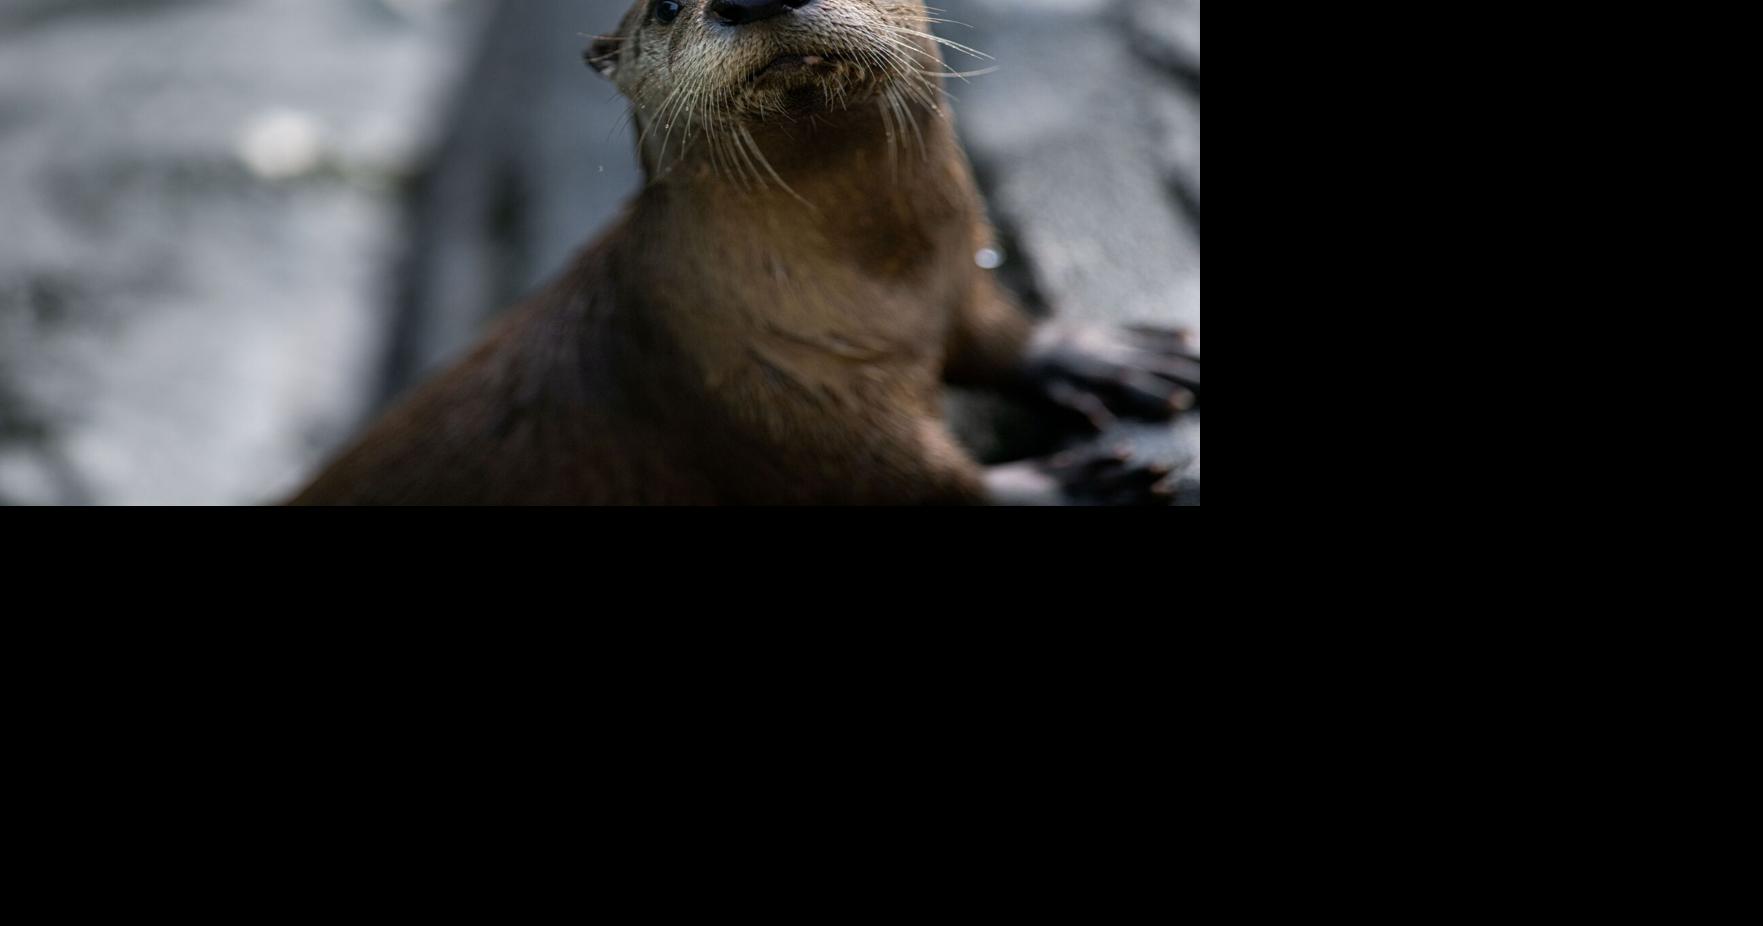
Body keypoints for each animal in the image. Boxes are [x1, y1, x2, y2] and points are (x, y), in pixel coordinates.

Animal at [290, 0, 1200, 506]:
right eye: (664, 4)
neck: (879, 291)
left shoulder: (951, 278)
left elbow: (990, 332)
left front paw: (1101, 357)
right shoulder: (766, 398)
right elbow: (912, 484)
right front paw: (1072, 486)